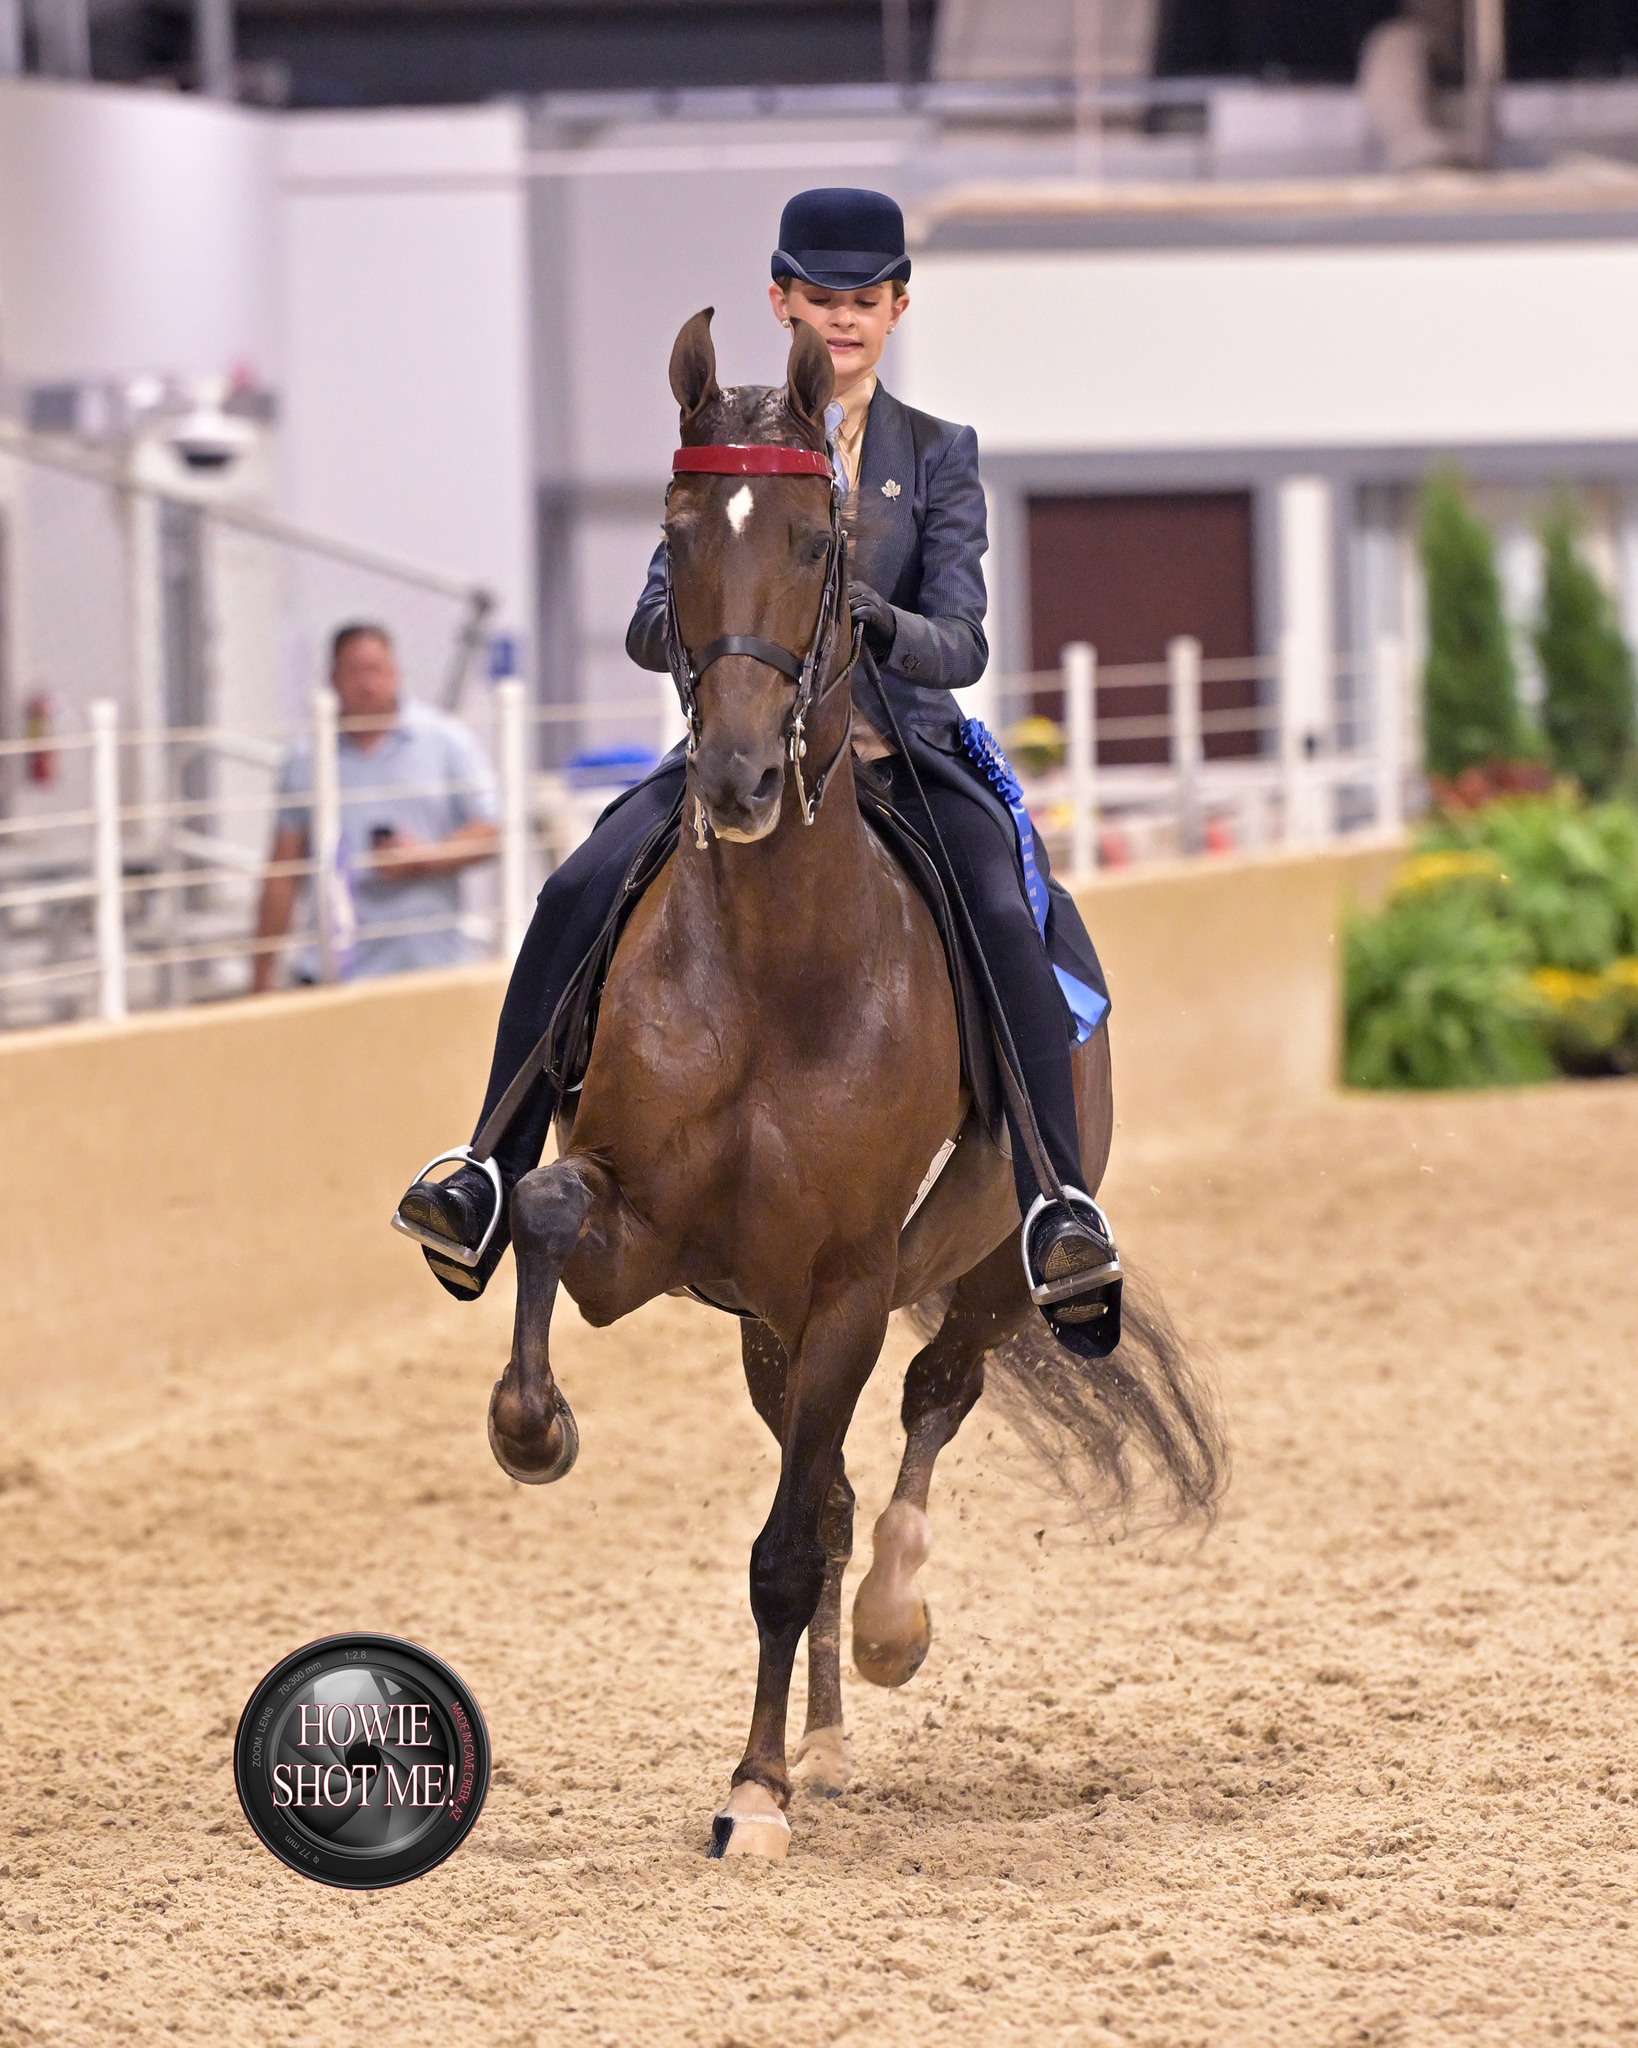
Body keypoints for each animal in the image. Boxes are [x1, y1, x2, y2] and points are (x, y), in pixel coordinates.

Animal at [486, 310, 1225, 1858]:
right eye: (672, 532)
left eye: (825, 540)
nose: (736, 777)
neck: (778, 964)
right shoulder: (659, 1244)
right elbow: (548, 1207)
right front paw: (533, 1429)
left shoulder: (844, 1288)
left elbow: (786, 1543)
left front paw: (752, 1795)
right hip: (766, 1331)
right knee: (820, 1480)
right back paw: (824, 1736)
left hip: (986, 1275)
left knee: (921, 1417)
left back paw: (886, 1632)